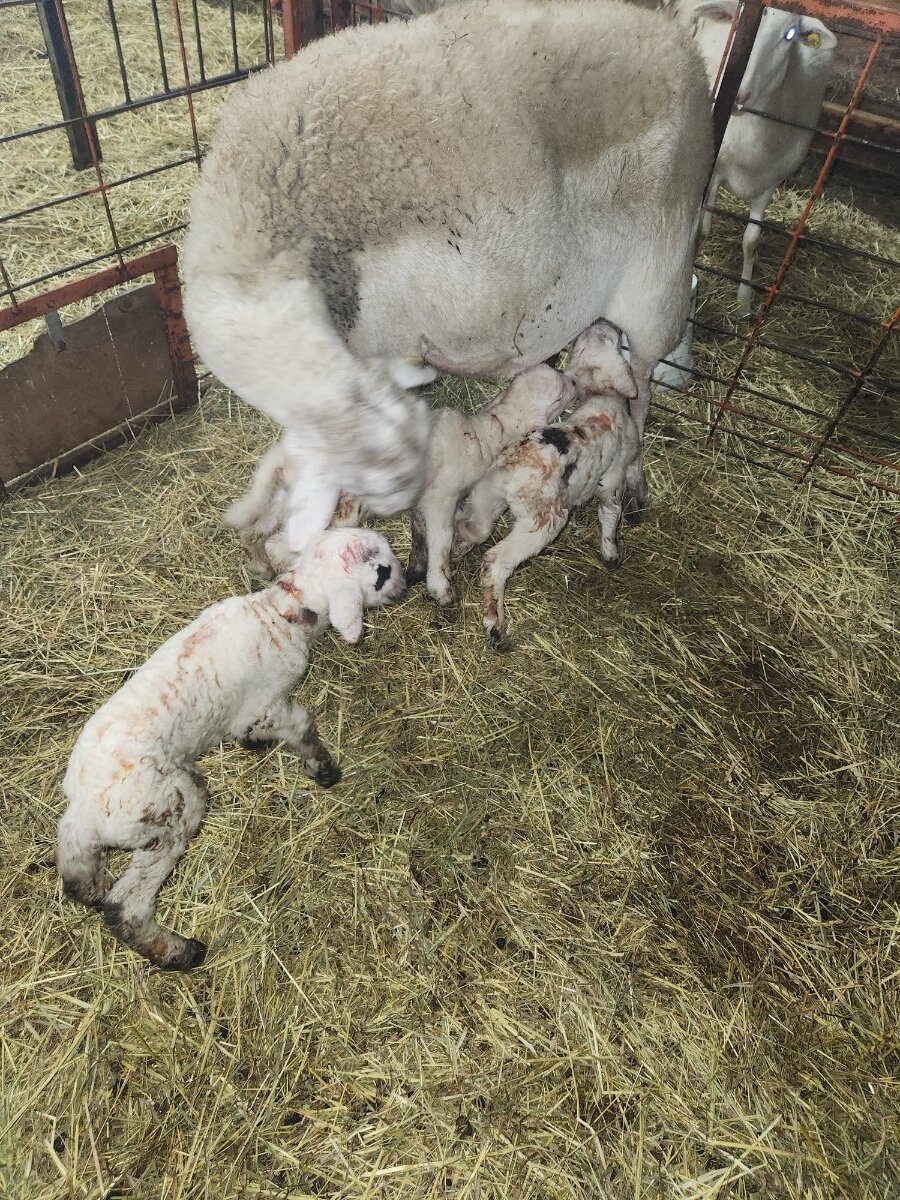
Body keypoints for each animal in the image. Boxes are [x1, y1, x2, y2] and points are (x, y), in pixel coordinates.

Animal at [56, 528, 406, 971]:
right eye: (383, 570)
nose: (407, 584)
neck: (282, 613)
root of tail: (84, 812)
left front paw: (255, 744)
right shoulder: (266, 703)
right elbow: (303, 725)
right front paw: (322, 768)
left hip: (91, 830)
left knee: (76, 866)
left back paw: (92, 888)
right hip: (169, 807)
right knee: (126, 906)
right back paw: (179, 951)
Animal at [452, 321, 641, 649]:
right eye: (613, 341)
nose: (608, 322)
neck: (602, 398)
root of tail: (512, 463)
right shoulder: (613, 477)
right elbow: (610, 512)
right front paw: (611, 553)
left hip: (487, 499)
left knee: (471, 530)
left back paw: (451, 560)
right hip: (543, 520)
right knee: (495, 561)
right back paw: (496, 627)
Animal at [670, 0, 837, 314]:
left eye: (790, 34)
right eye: (739, 22)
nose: (740, 95)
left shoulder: (770, 183)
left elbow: (751, 241)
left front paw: (745, 300)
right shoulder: (715, 167)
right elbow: (701, 227)